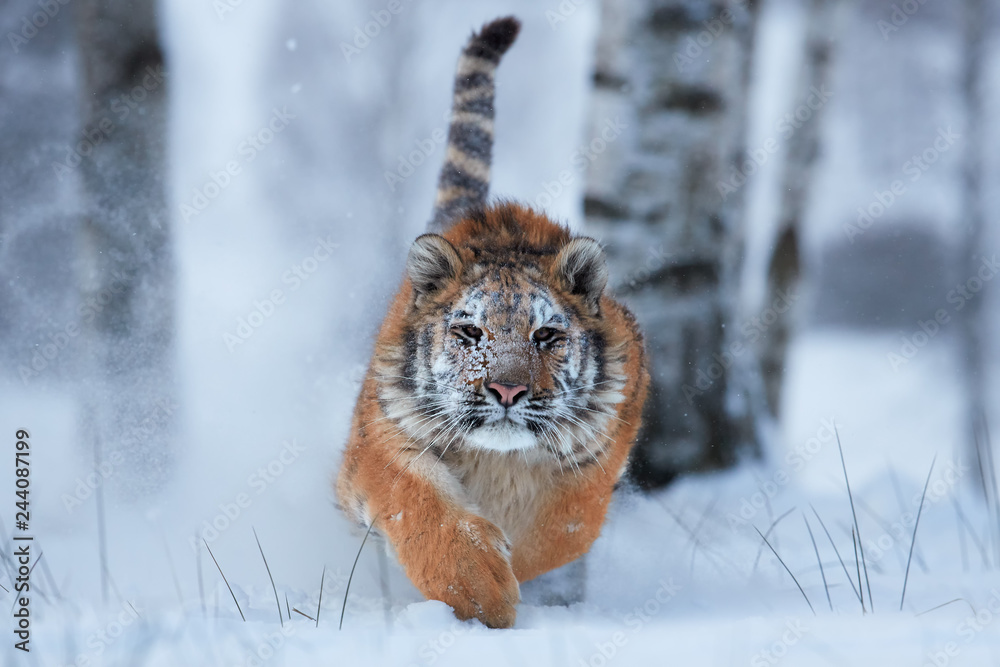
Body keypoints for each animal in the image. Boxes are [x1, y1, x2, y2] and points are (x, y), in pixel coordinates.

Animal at [336, 16, 648, 629]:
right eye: (469, 333)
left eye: (545, 335)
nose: (506, 390)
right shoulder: (383, 441)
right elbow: (417, 506)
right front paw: (483, 591)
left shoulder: (601, 449)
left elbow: (564, 524)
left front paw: (514, 566)